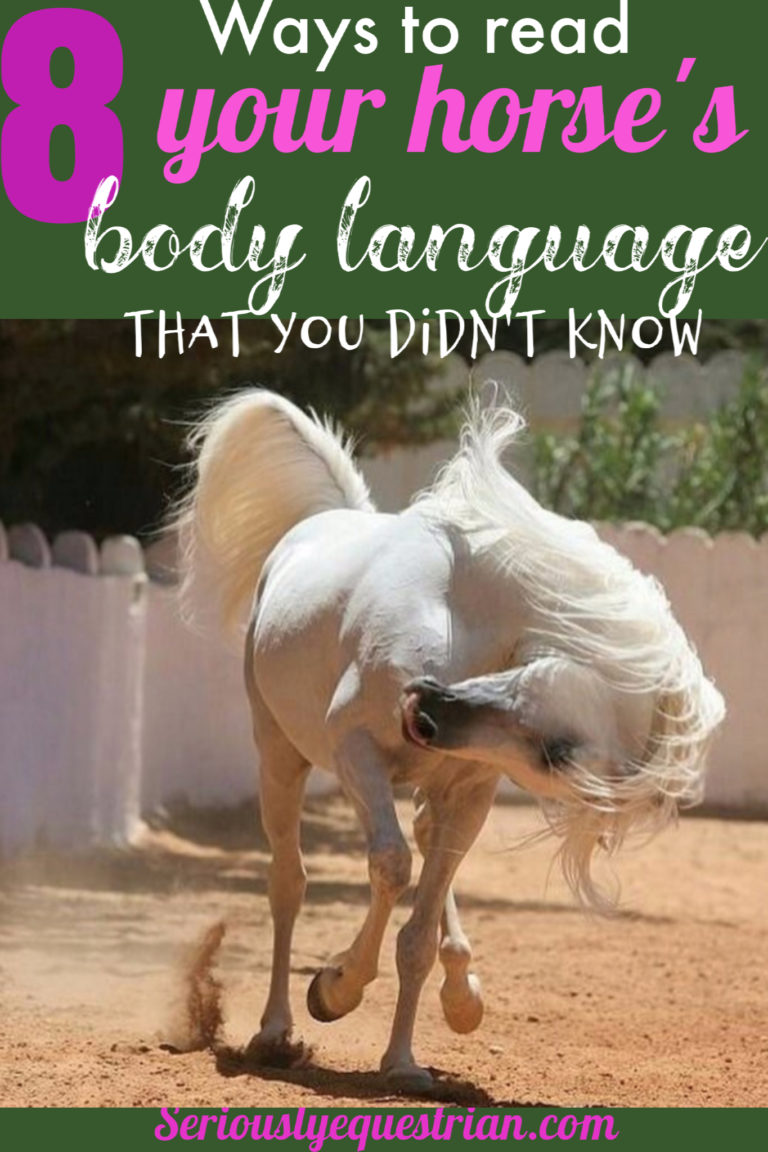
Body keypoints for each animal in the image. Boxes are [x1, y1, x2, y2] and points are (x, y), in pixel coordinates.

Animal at [175, 388, 725, 1094]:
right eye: (526, 676)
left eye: (556, 751)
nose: (426, 710)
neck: (455, 610)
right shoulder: (355, 753)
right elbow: (390, 868)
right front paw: (335, 988)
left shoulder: (470, 789)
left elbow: (418, 930)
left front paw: (401, 1060)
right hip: (281, 757)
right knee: (289, 883)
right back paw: (275, 1031)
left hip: (425, 788)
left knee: (424, 865)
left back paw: (461, 994)